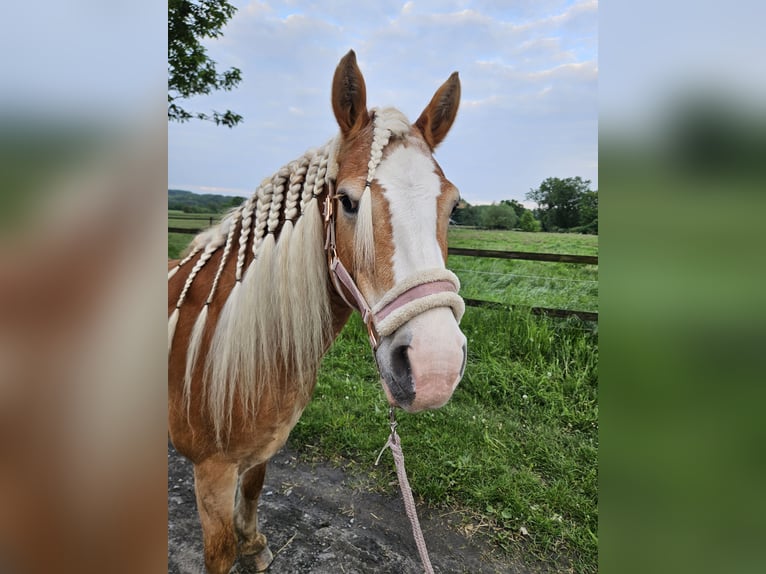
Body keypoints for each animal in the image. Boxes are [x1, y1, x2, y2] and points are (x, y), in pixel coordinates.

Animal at [168, 50, 467, 574]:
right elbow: (219, 552)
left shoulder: (263, 449)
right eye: (347, 200)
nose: (436, 366)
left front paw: (254, 545)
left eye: (452, 209)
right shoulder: (211, 474)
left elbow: (254, 489)